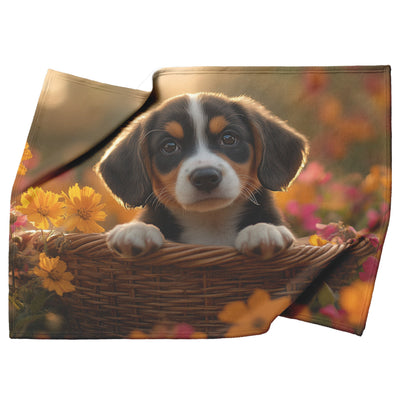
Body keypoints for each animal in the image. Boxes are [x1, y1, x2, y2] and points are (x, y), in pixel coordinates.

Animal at [95, 94, 308, 260]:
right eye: (169, 146)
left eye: (228, 138)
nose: (205, 177)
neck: (210, 223)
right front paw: (137, 230)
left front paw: (262, 229)